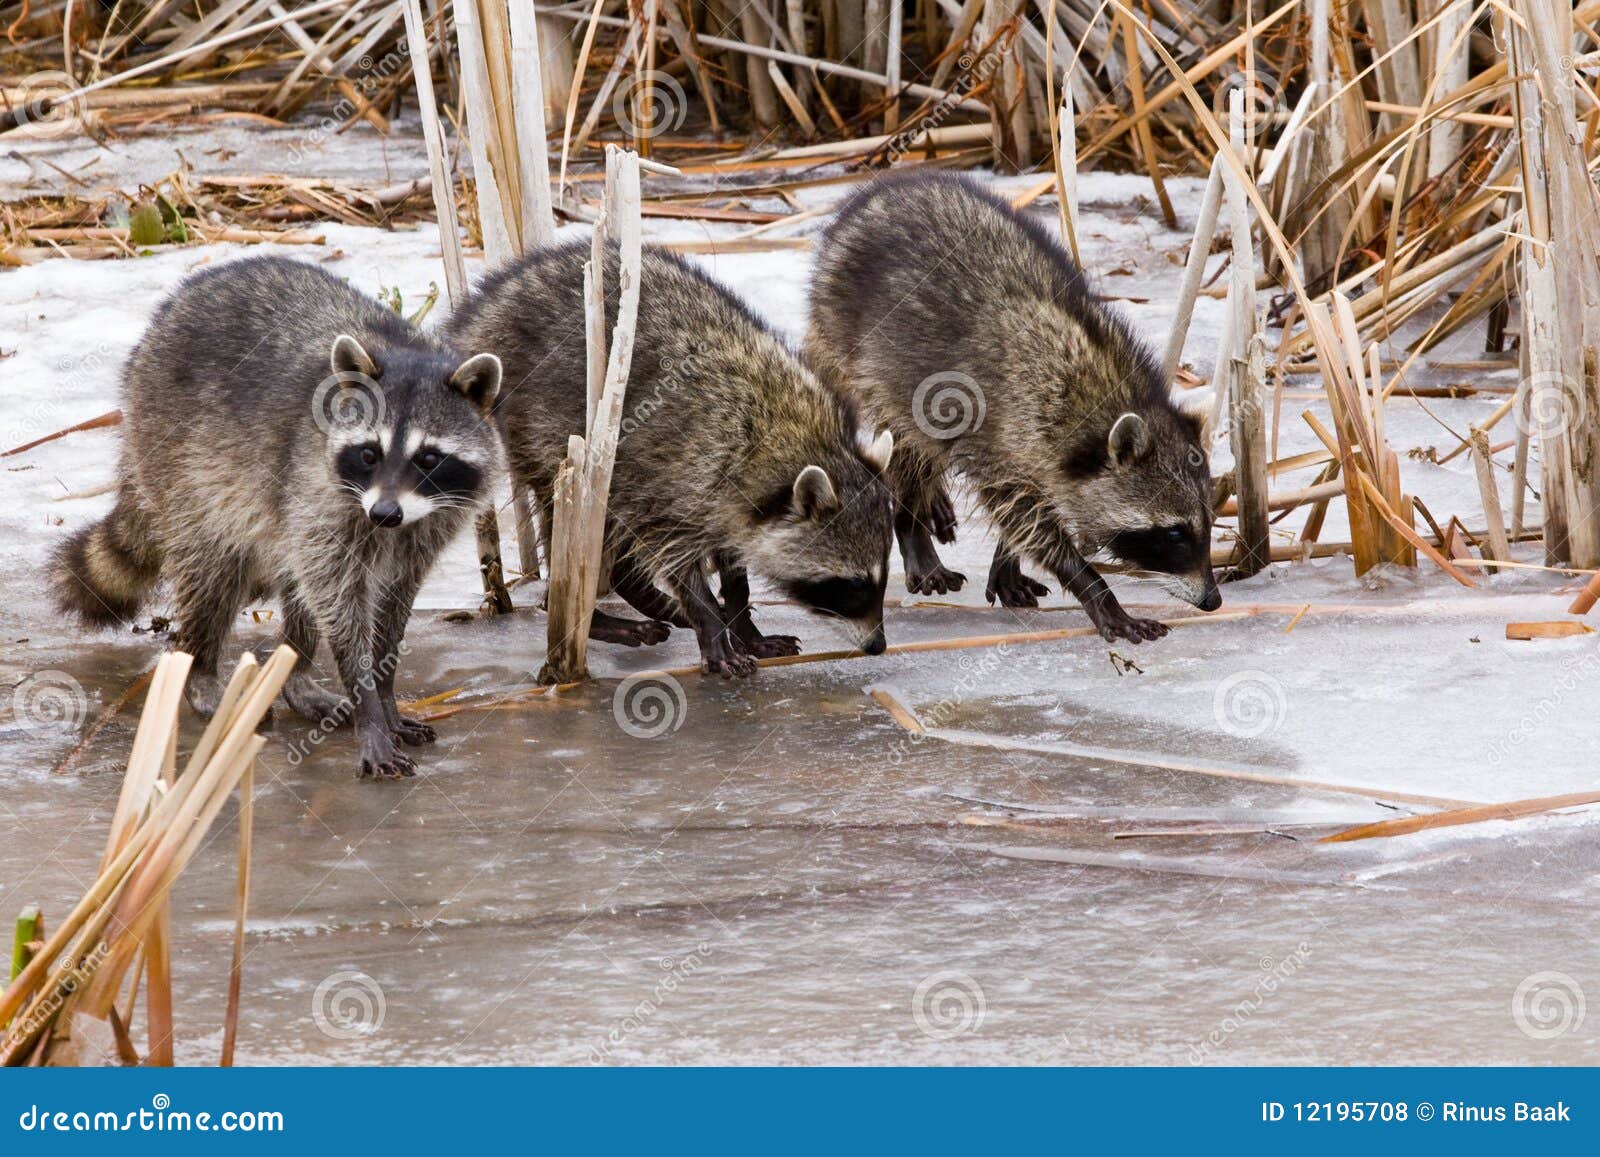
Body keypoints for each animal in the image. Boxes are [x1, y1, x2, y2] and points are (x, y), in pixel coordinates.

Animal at [50, 256, 504, 779]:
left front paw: (385, 693)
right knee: (212, 575)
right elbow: (338, 600)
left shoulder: (424, 526)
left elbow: (392, 602)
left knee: (295, 586)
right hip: (181, 465)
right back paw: (201, 672)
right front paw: (368, 703)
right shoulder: (319, 490)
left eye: (428, 459)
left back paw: (297, 673)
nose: (384, 513)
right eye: (369, 453)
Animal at [447, 241, 896, 677]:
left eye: (881, 579)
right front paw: (711, 623)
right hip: (546, 431)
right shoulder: (674, 474)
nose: (879, 646)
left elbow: (732, 563)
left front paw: (742, 622)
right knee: (575, 534)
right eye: (853, 586)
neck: (789, 437)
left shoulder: (728, 500)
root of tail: (481, 311)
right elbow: (675, 559)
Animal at [806, 171, 1220, 643]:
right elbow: (1023, 514)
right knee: (910, 445)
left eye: (1209, 521)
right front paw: (1092, 586)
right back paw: (912, 522)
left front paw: (1008, 559)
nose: (1213, 600)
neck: (1101, 396)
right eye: (1173, 534)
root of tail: (882, 190)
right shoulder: (1000, 426)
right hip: (864, 355)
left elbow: (1025, 507)